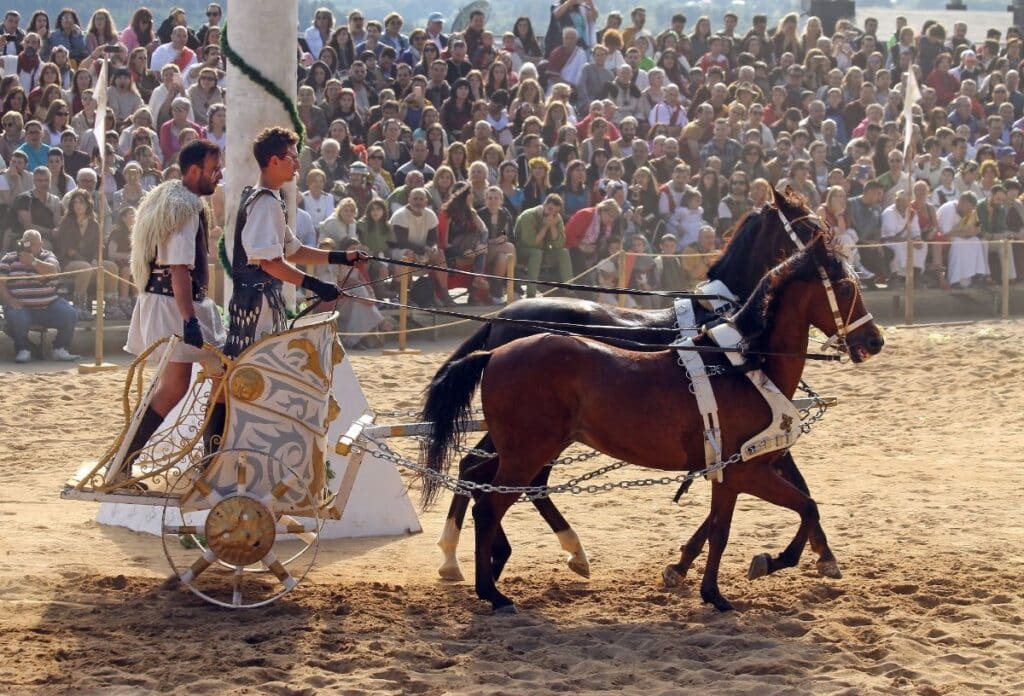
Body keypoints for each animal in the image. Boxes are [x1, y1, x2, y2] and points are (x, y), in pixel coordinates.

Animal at [421, 229, 884, 614]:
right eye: (846, 287)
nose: (874, 340)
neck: (746, 366)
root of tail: (495, 351)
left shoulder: (728, 475)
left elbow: (724, 528)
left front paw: (711, 590)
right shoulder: (746, 469)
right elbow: (804, 507)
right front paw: (770, 562)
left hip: (522, 449)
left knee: (484, 483)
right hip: (528, 452)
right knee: (490, 505)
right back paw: (494, 591)